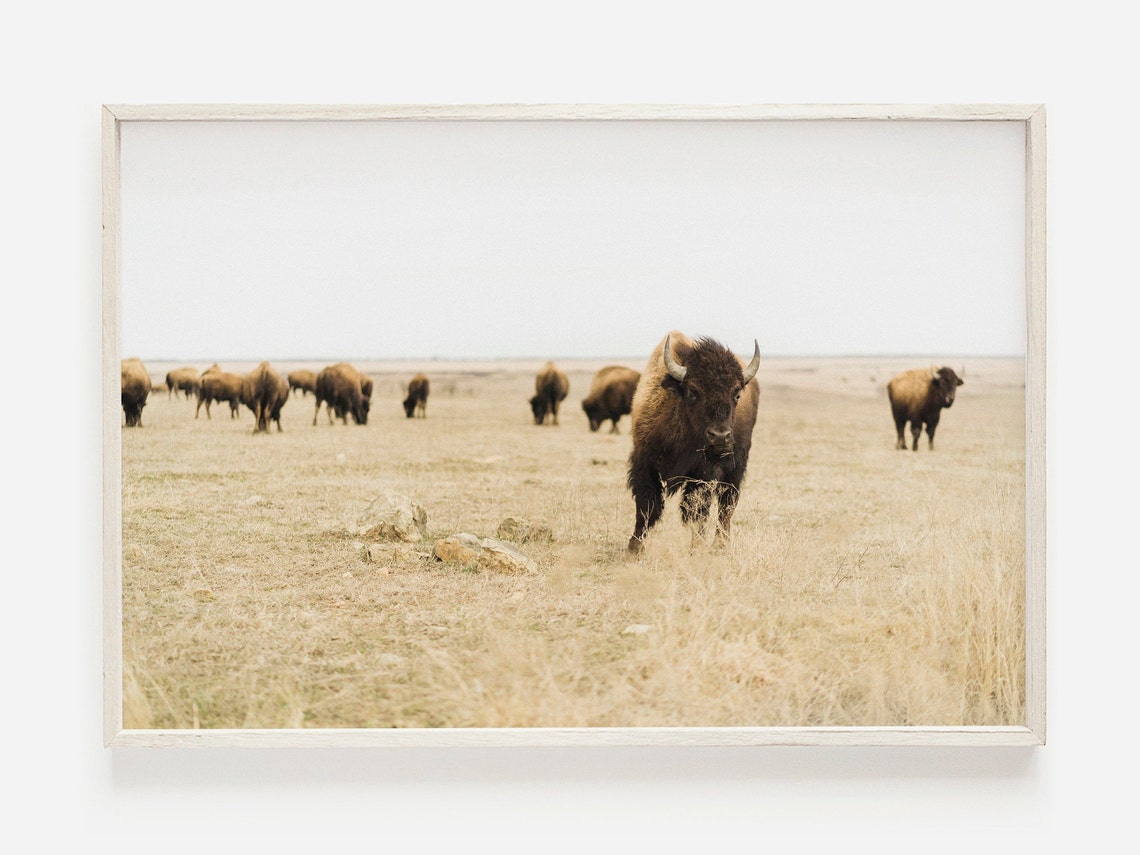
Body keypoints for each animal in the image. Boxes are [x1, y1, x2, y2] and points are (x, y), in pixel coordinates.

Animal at [626, 332, 760, 554]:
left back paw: (720, 545)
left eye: (737, 394)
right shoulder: (644, 463)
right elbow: (647, 506)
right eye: (692, 392)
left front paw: (696, 548)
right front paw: (634, 548)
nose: (720, 436)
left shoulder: (703, 473)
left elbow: (697, 510)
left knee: (726, 506)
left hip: (736, 468)